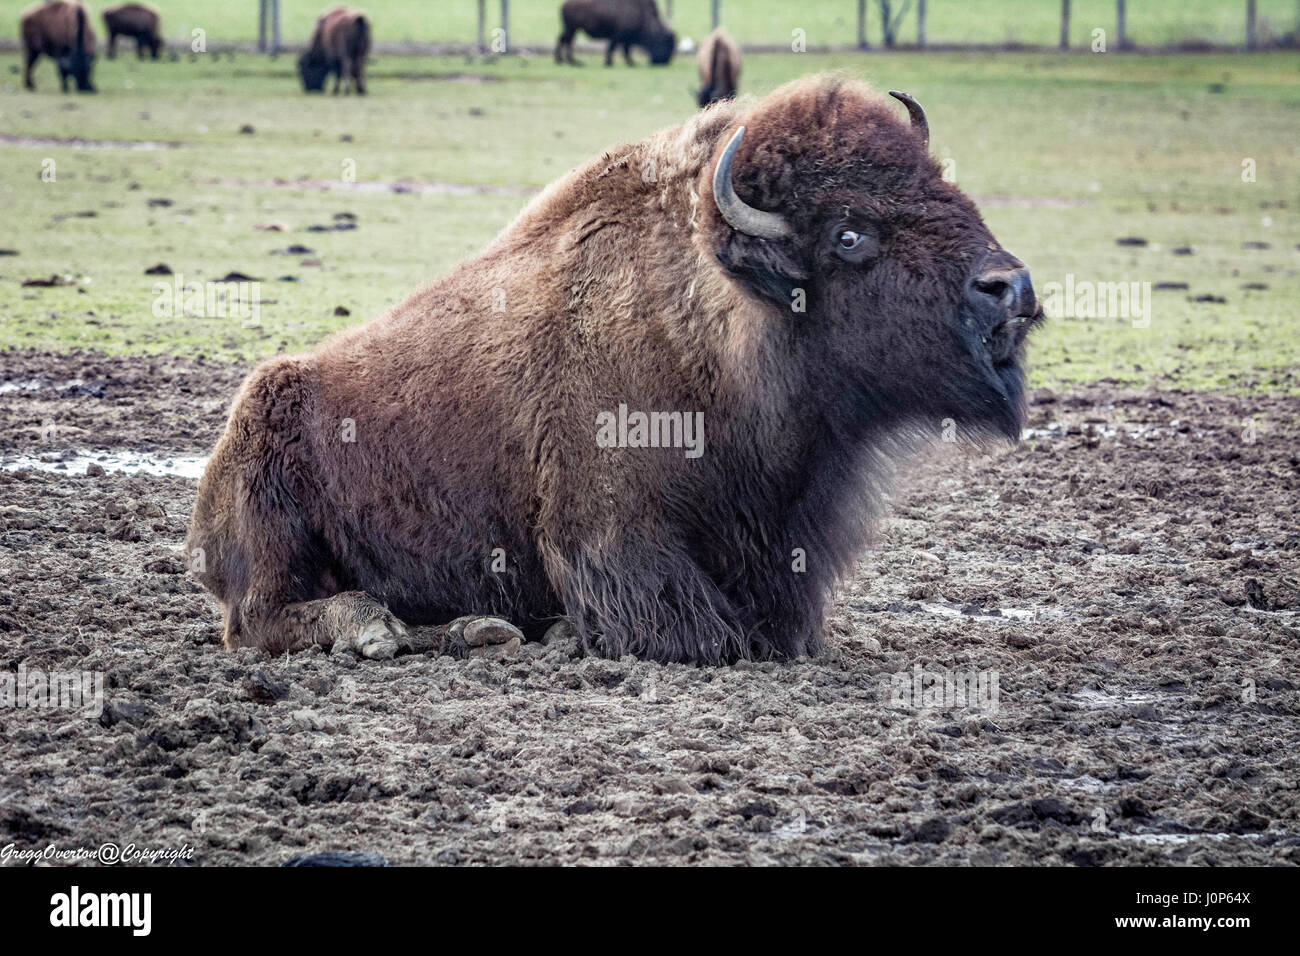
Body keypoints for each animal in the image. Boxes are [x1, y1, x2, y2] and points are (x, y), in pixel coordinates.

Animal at [188, 77, 1040, 665]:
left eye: (945, 185)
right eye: (851, 234)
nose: (1010, 290)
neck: (712, 331)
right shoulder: (613, 540)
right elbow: (702, 632)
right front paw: (571, 632)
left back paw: (483, 629)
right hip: (270, 530)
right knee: (267, 618)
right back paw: (381, 629)